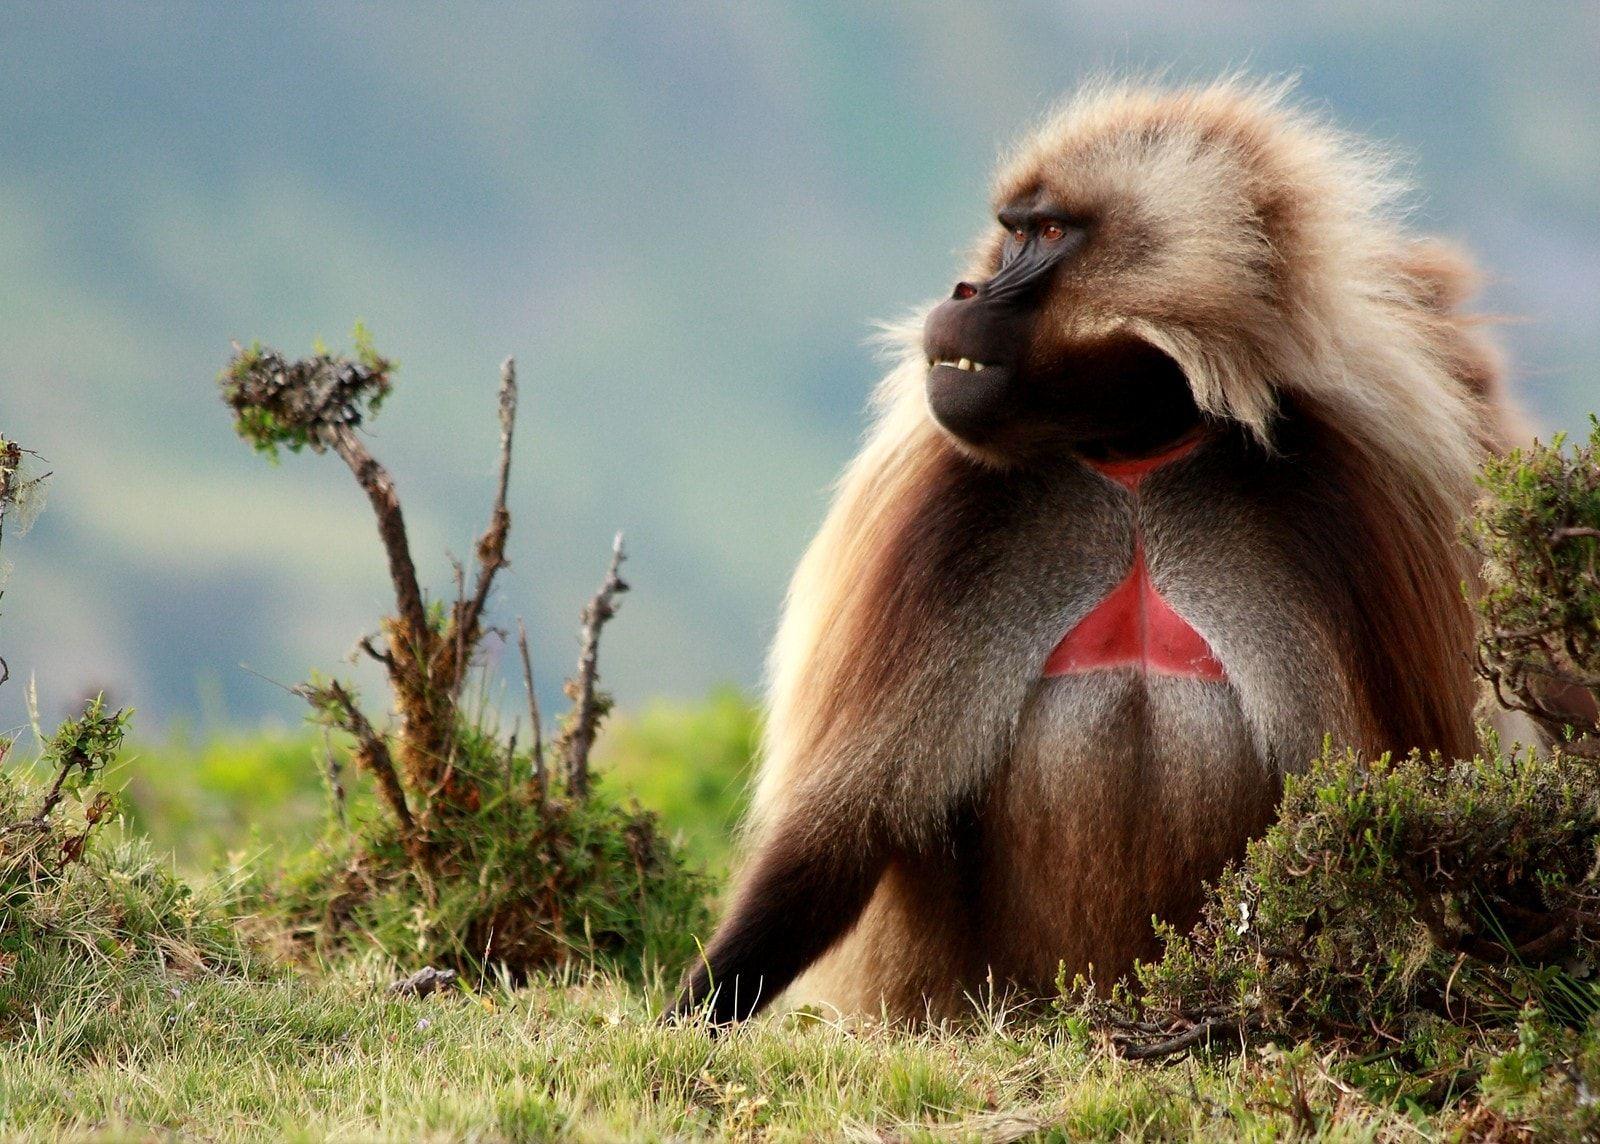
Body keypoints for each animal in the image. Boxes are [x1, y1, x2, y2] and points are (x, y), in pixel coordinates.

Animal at [672, 78, 1525, 1026]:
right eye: (1010, 228)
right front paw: (693, 1013)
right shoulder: (942, 519)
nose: (965, 288)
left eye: (1046, 234)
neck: (1135, 455)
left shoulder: (1349, 513)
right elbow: (842, 832)